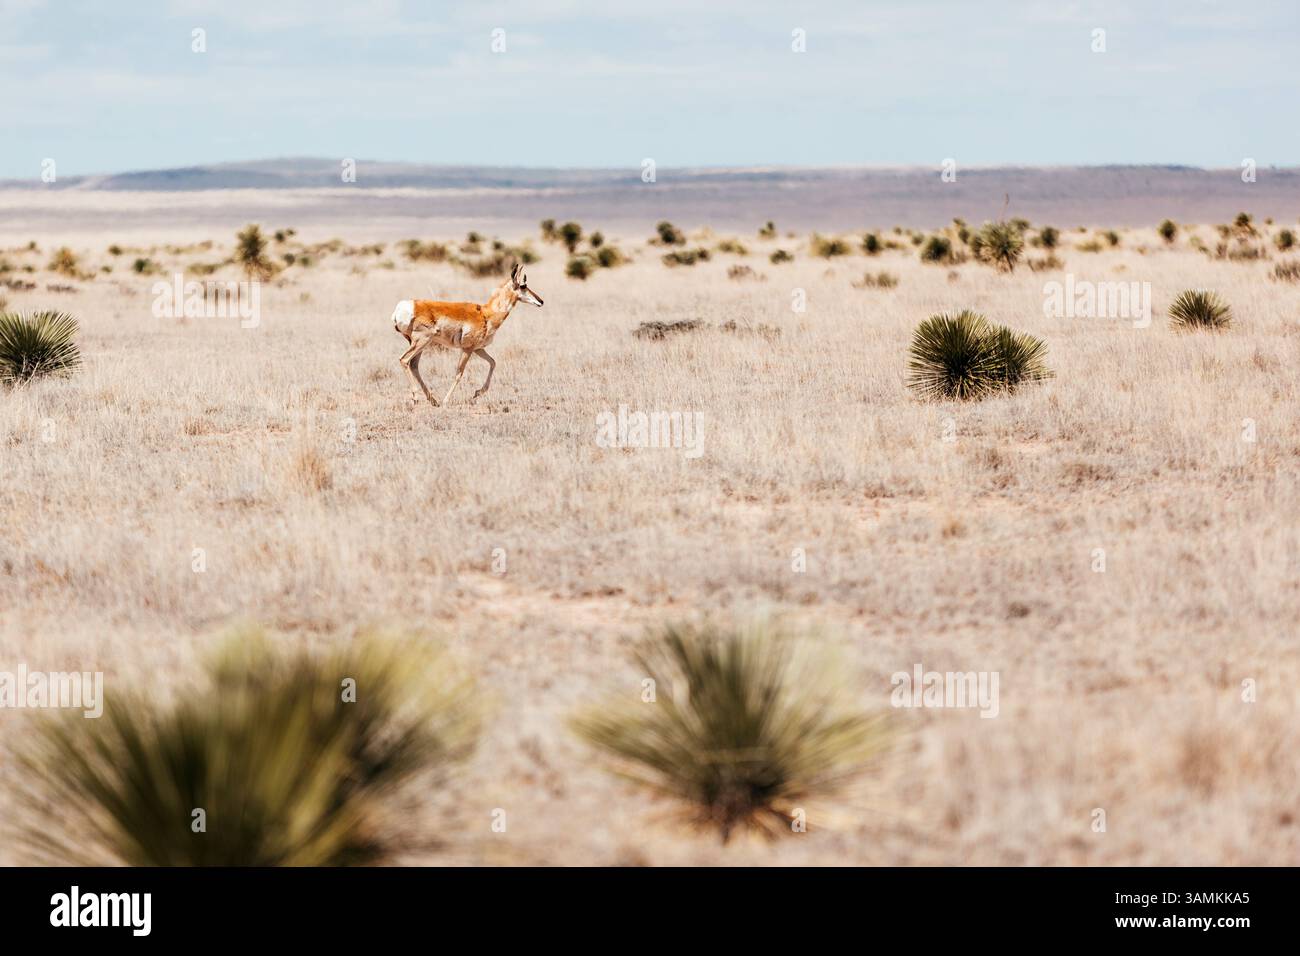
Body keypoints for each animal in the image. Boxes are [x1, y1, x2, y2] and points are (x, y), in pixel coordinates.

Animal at [390, 263, 543, 408]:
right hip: (422, 341)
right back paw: (416, 398)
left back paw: (433, 400)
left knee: (414, 365)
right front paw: (446, 401)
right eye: (523, 286)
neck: (485, 313)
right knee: (404, 360)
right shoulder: (467, 349)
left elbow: (493, 362)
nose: (541, 301)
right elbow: (459, 373)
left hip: (420, 344)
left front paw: (477, 393)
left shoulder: (478, 349)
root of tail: (406, 306)